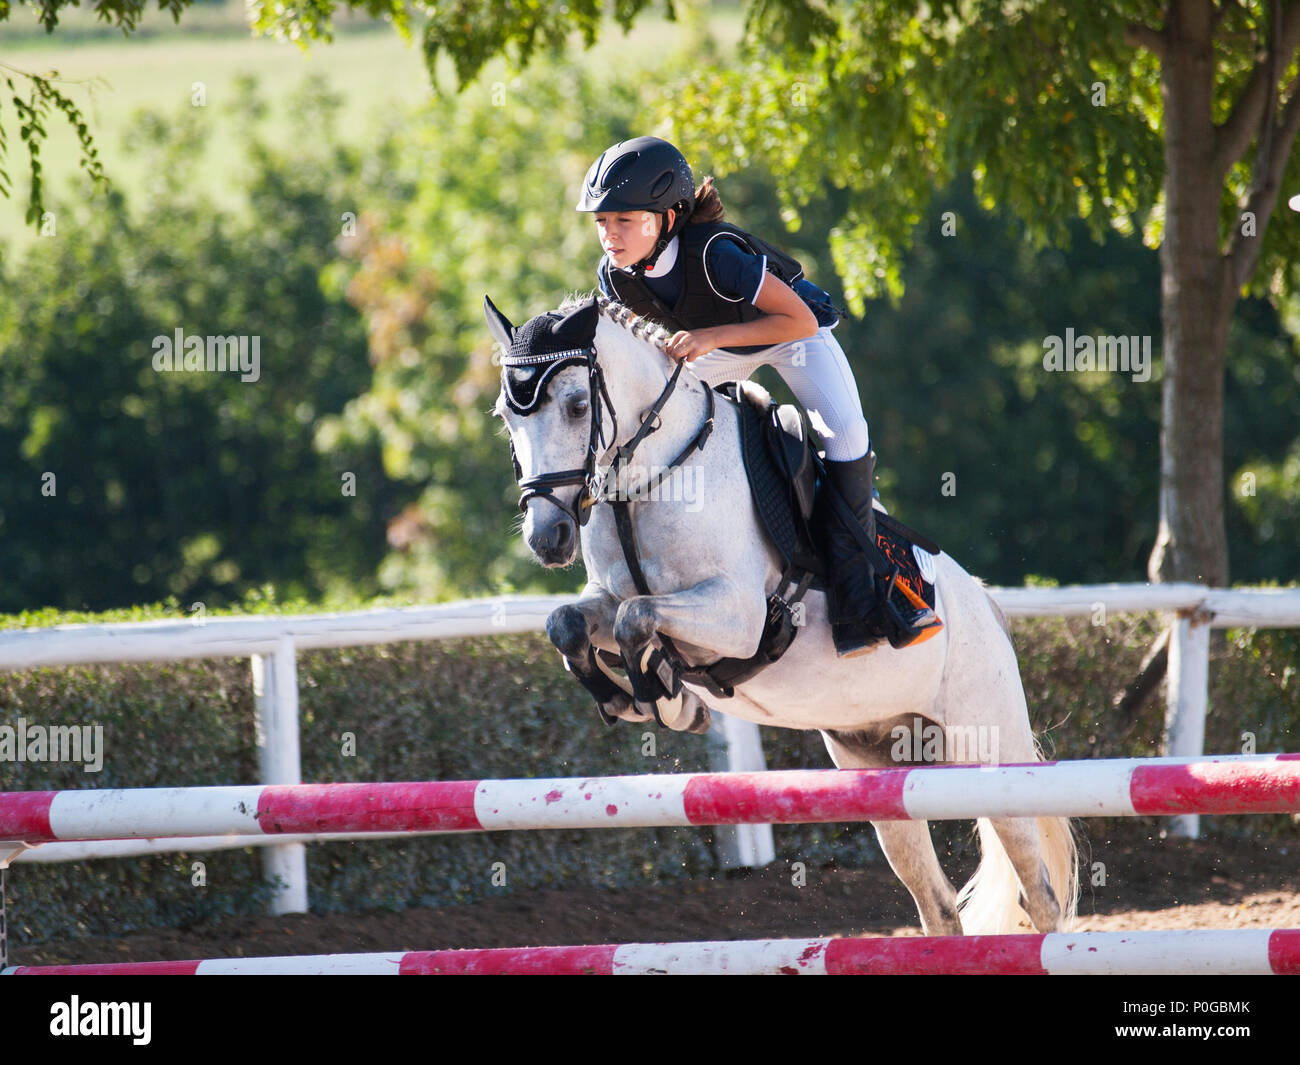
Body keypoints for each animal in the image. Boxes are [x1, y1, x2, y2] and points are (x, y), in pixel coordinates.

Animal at [486, 292, 1078, 937]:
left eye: (575, 406)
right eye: (506, 416)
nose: (548, 538)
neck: (651, 479)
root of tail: (989, 608)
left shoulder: (736, 616)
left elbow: (636, 618)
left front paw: (661, 698)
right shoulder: (608, 598)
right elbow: (571, 622)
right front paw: (643, 699)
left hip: (986, 749)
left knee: (1039, 894)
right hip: (877, 766)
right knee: (939, 908)